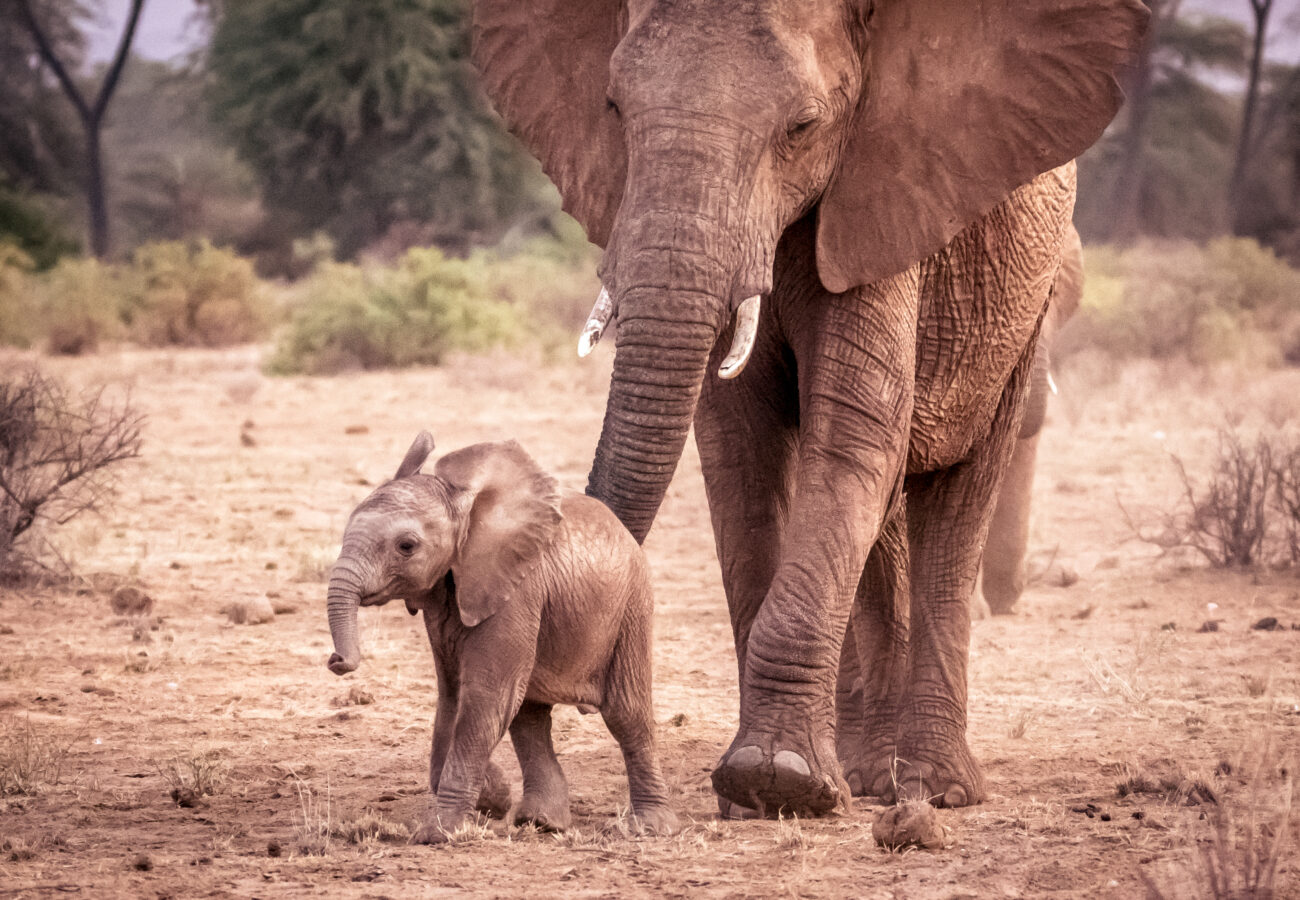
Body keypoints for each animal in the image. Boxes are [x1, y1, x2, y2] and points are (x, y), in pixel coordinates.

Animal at [325, 432, 678, 842]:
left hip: (631, 608)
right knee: (530, 717)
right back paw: (542, 821)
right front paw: (492, 798)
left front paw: (440, 832)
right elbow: (453, 694)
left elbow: (486, 696)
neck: (464, 506)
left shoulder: (517, 591)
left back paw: (649, 827)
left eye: (406, 546)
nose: (337, 661)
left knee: (627, 713)